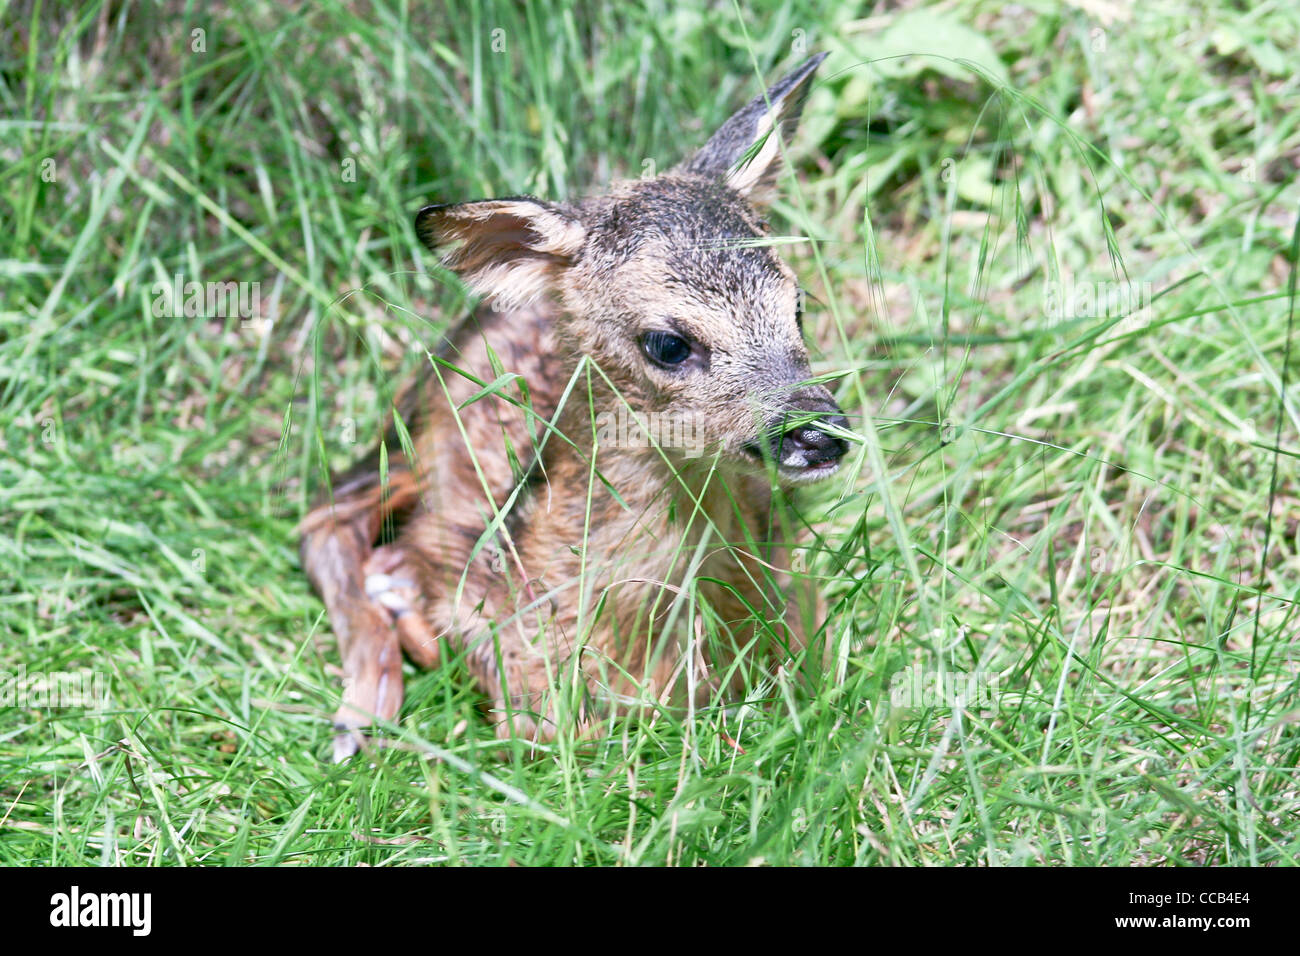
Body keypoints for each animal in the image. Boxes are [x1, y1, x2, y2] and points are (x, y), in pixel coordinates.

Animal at [298, 53, 849, 761]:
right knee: (327, 512)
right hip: (415, 427)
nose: (818, 431)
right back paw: (361, 714)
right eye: (668, 342)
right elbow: (549, 725)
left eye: (798, 305)